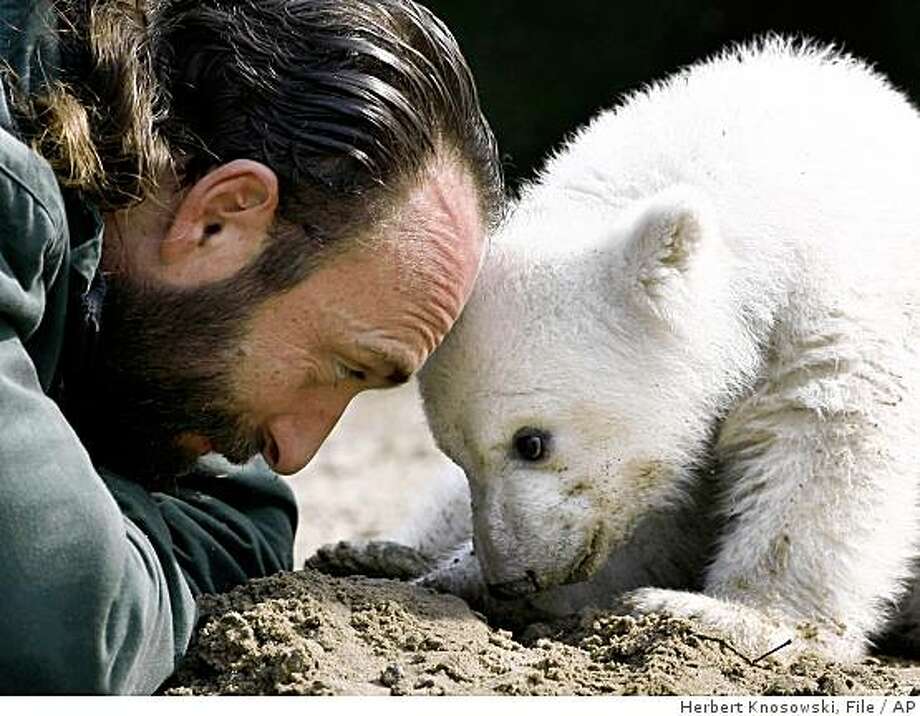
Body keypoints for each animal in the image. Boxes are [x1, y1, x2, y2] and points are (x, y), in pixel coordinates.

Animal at [309, 38, 920, 663]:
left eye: (531, 443)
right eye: (455, 452)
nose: (512, 577)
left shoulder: (837, 316)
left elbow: (829, 446)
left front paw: (726, 615)